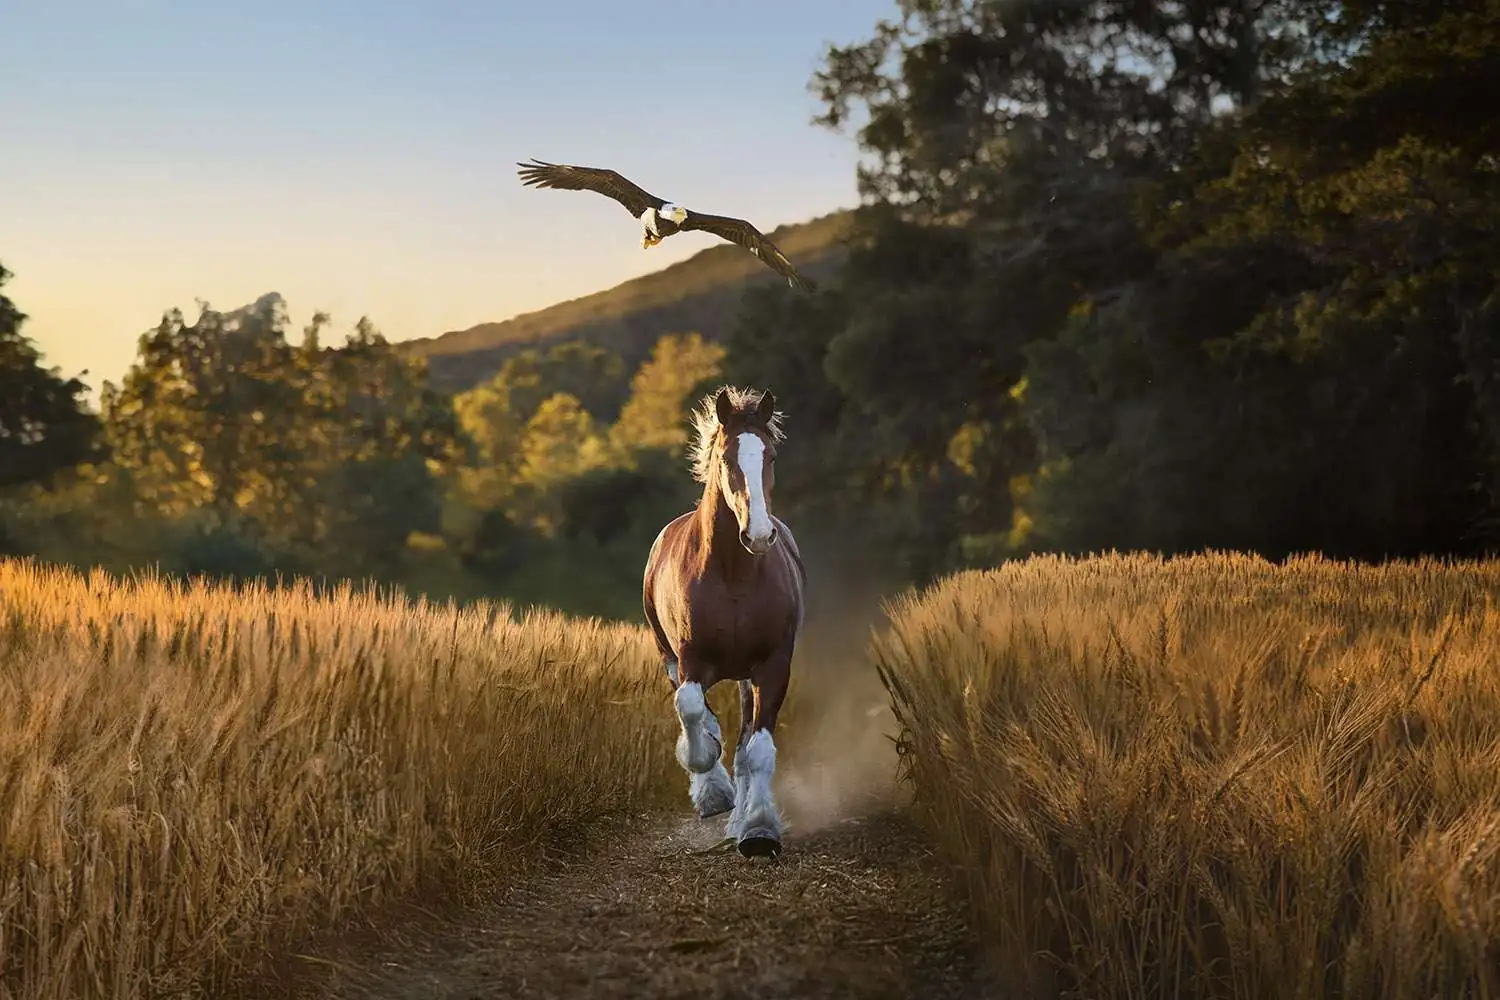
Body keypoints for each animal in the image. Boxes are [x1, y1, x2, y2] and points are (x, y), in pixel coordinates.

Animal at [642, 385, 807, 858]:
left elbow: (758, 749)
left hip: (746, 677)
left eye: (770, 455)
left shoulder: (773, 665)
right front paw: (712, 788)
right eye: (727, 458)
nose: (759, 535)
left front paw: (759, 830)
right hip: (669, 657)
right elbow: (692, 709)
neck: (733, 573)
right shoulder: (690, 660)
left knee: (747, 739)